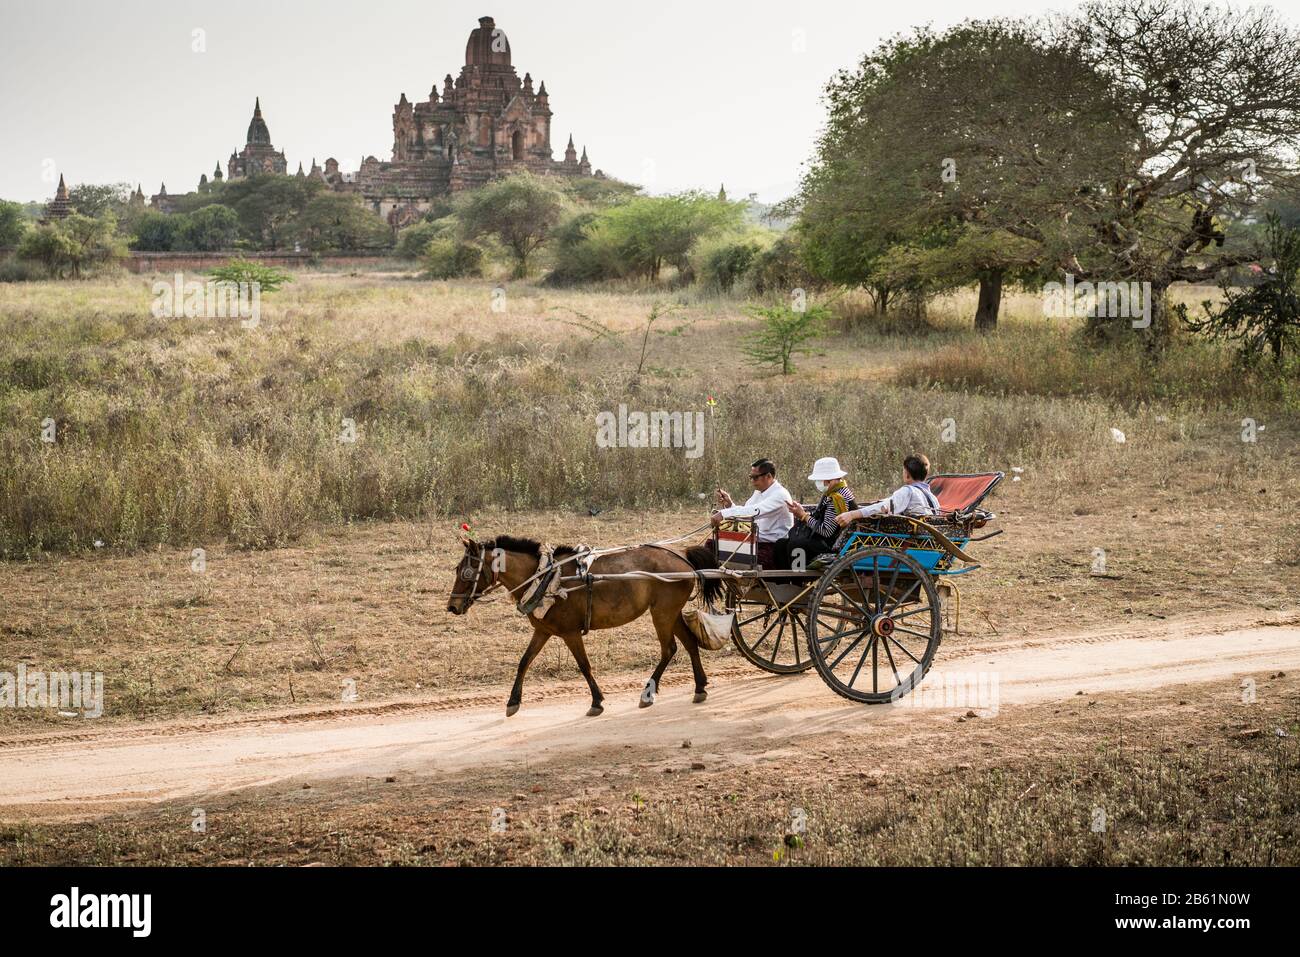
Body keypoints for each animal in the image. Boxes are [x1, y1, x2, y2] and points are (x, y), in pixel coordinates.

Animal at [446, 534, 722, 717]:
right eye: (457, 568)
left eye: (466, 572)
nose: (452, 606)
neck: (544, 577)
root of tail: (682, 556)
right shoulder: (543, 630)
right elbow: (524, 661)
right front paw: (513, 701)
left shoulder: (570, 633)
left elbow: (584, 665)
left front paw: (596, 702)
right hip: (669, 612)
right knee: (689, 643)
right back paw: (699, 687)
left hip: (662, 613)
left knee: (669, 649)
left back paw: (648, 694)